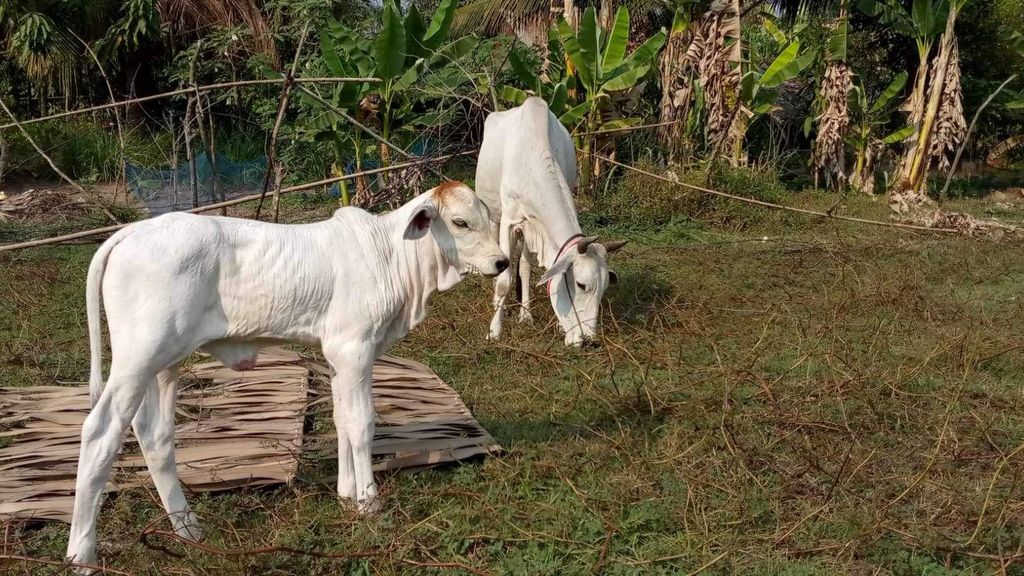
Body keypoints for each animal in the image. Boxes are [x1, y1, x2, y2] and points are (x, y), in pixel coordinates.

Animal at [66, 182, 508, 569]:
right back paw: (81, 554)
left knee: (154, 435)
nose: (502, 262)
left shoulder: (336, 356)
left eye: (487, 217)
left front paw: (346, 495)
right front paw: (368, 502)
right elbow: (362, 424)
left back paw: (188, 529)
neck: (392, 256)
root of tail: (130, 233)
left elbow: (341, 420)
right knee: (100, 431)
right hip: (136, 359)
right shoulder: (354, 348)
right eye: (460, 222)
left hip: (163, 364)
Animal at [475, 97, 626, 347]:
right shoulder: (509, 222)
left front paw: (532, 317)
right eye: (581, 284)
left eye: (604, 289)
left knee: (524, 266)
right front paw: (494, 330)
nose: (589, 340)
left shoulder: (535, 226)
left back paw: (524, 312)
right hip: (493, 214)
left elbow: (525, 269)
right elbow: (505, 280)